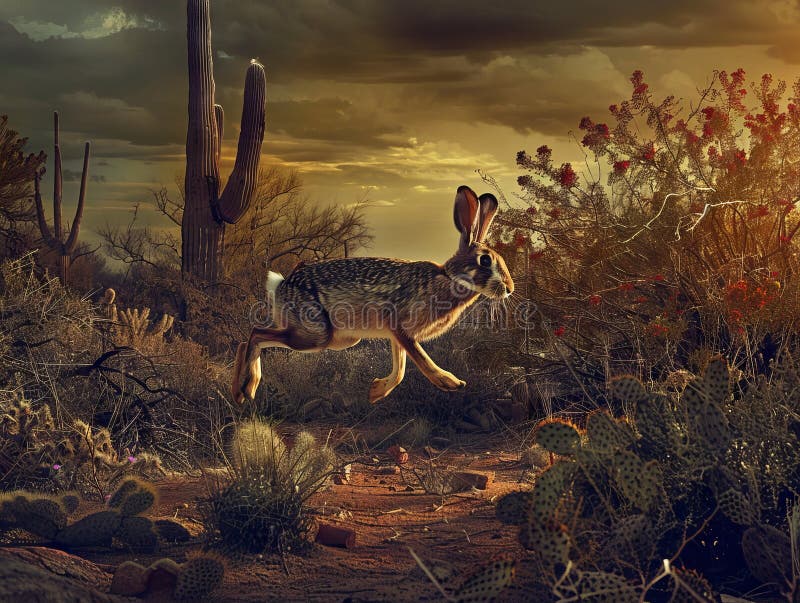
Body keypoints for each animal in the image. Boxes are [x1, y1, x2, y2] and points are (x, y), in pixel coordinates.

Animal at [232, 185, 515, 404]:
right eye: (485, 260)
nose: (509, 288)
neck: (448, 278)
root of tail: (281, 286)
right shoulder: (400, 325)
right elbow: (419, 360)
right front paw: (450, 382)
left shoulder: (397, 335)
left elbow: (400, 369)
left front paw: (375, 393)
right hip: (315, 333)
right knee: (256, 334)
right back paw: (245, 388)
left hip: (339, 339)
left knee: (248, 340)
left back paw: (242, 391)